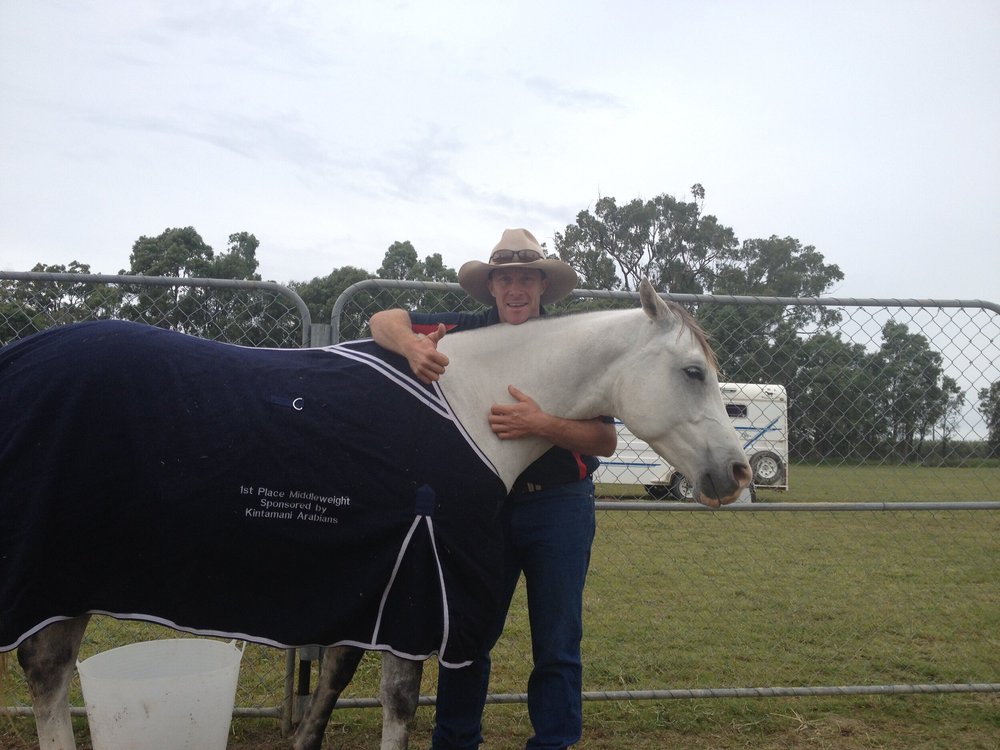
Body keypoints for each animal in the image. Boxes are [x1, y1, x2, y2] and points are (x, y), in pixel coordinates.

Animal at [2, 279, 751, 750]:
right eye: (693, 372)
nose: (739, 472)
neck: (470, 402)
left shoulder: (380, 585)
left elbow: (333, 681)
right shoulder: (421, 589)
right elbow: (399, 703)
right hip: (52, 574)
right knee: (48, 673)